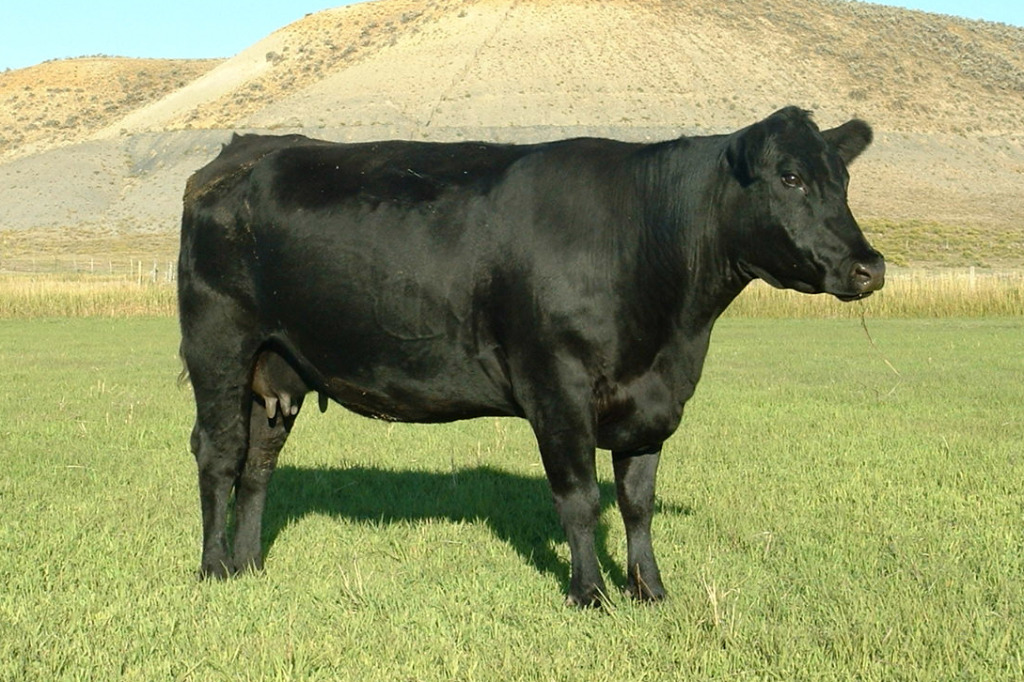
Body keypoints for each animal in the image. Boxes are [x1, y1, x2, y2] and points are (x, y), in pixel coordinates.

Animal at [178, 106, 884, 607]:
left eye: (845, 178)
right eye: (790, 177)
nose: (868, 266)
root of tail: (240, 152)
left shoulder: (650, 402)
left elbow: (638, 502)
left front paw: (650, 591)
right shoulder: (557, 387)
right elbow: (579, 497)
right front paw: (590, 594)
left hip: (279, 365)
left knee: (259, 462)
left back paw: (250, 565)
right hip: (218, 343)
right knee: (220, 454)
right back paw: (214, 570)